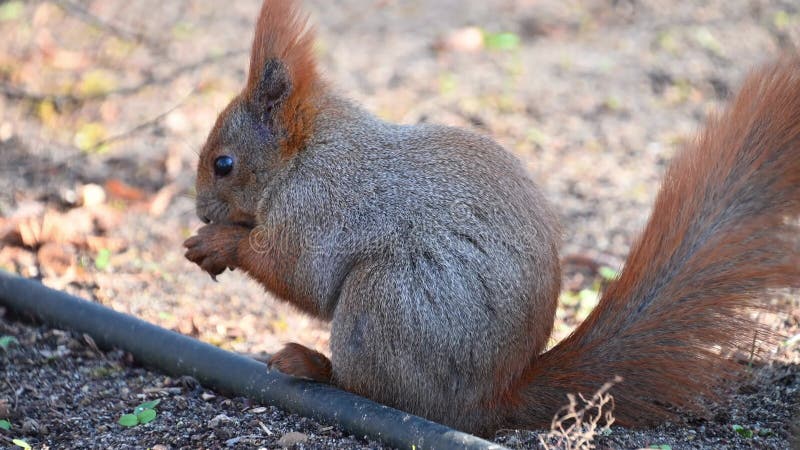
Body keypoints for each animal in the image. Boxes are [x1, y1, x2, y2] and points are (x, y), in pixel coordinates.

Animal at [184, 0, 800, 436]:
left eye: (223, 164)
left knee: (382, 394)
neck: (305, 155)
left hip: (385, 306)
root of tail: (495, 396)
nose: (199, 208)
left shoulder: (320, 209)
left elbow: (296, 273)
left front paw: (218, 242)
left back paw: (310, 364)